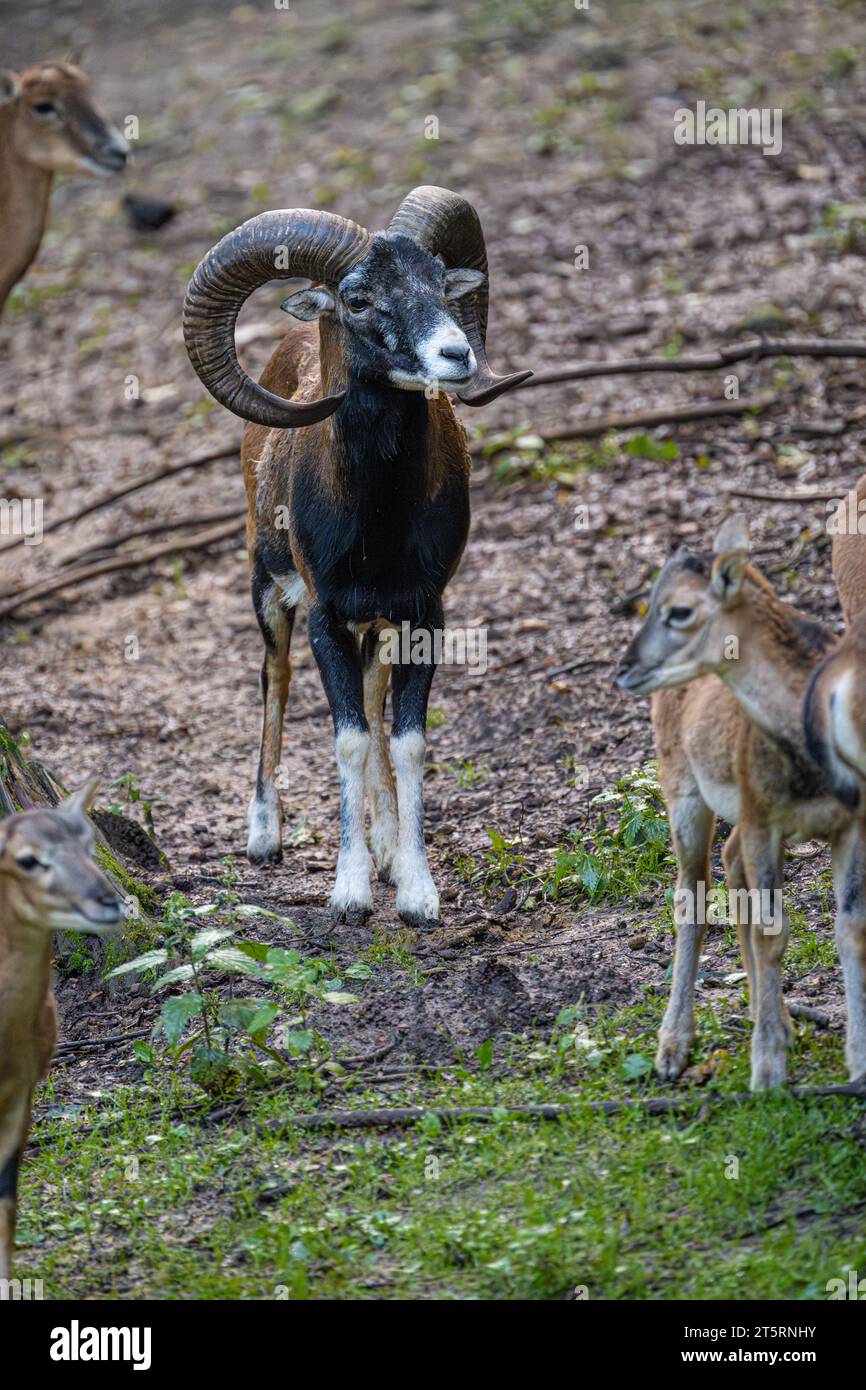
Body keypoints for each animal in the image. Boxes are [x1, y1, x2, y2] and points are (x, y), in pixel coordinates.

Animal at [183, 186, 530, 928]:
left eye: (439, 284)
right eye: (359, 298)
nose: (457, 355)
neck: (378, 523)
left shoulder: (423, 615)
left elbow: (401, 740)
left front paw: (415, 890)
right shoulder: (326, 619)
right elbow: (347, 738)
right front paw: (350, 893)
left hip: (379, 630)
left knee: (372, 704)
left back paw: (386, 848)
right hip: (268, 593)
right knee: (276, 681)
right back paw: (265, 836)